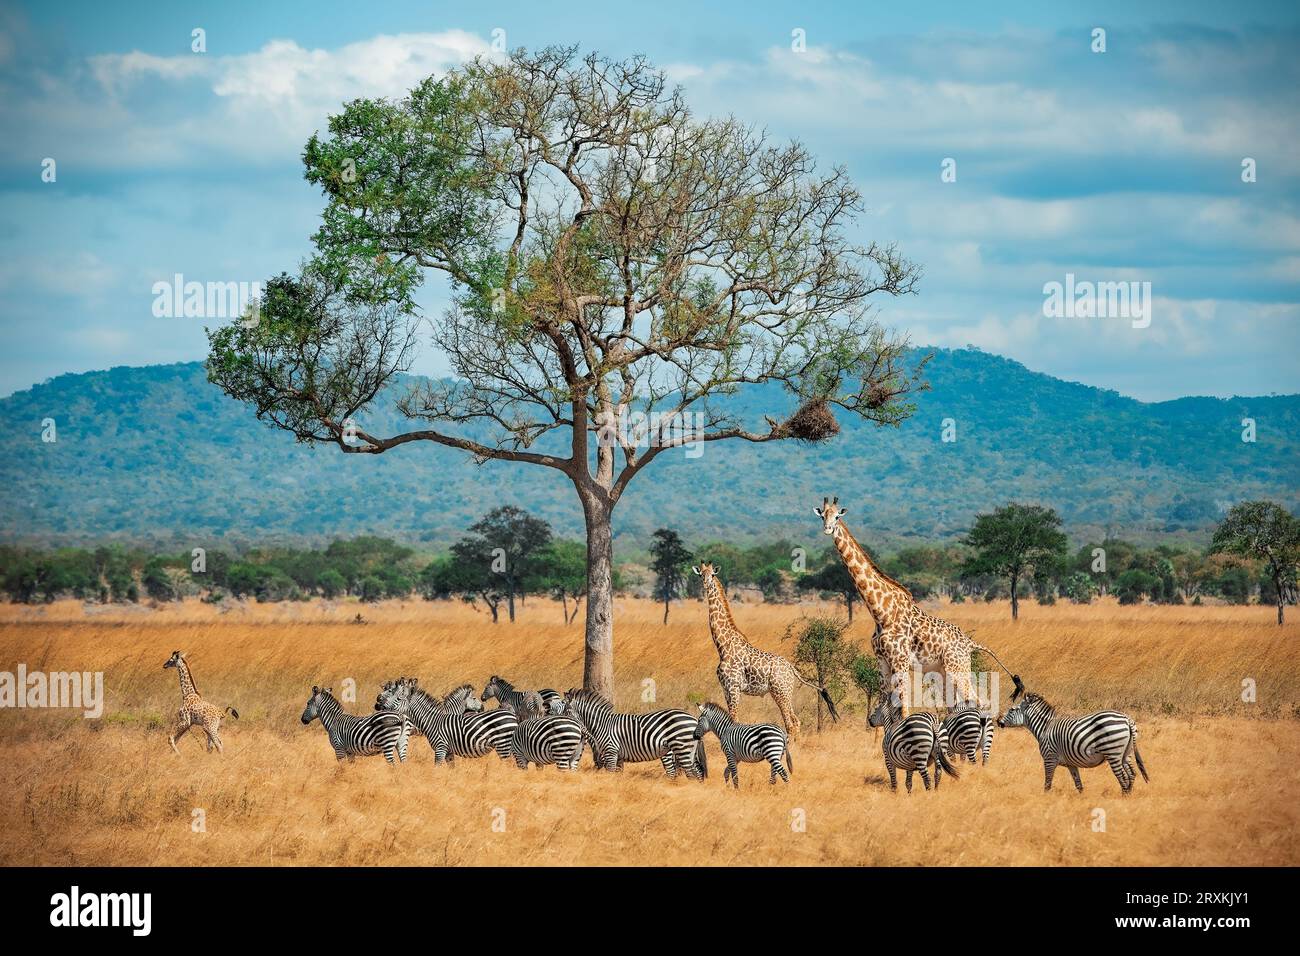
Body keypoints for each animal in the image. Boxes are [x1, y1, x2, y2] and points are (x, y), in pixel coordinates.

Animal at [376, 678, 516, 764]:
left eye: (398, 698)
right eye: (474, 698)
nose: (379, 706)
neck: (433, 720)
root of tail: (512, 715)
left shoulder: (441, 748)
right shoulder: (448, 751)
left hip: (503, 745)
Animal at [563, 688, 707, 780]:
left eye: (566, 712)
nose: (562, 725)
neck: (602, 724)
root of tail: (694, 719)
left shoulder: (611, 751)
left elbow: (610, 775)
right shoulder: (618, 756)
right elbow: (617, 776)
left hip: (681, 748)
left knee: (689, 773)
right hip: (686, 751)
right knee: (696, 773)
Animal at [693, 562, 838, 737]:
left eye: (713, 574)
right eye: (701, 574)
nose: (706, 584)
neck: (723, 645)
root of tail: (791, 668)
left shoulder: (734, 687)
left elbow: (733, 720)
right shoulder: (726, 689)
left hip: (780, 692)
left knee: (790, 724)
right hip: (786, 693)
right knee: (796, 721)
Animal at [814, 496, 1023, 719]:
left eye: (837, 516)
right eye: (822, 515)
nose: (827, 529)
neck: (880, 612)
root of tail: (969, 643)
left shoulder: (900, 661)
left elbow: (904, 710)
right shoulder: (882, 661)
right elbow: (885, 709)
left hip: (958, 668)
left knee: (980, 702)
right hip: (943, 670)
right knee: (957, 706)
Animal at [998, 692, 1149, 794]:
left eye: (1012, 709)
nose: (999, 722)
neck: (1045, 727)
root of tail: (1127, 719)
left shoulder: (1049, 758)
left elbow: (1047, 783)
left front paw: (1045, 800)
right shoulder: (1071, 764)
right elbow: (1078, 784)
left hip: (1113, 751)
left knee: (1122, 776)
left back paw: (1123, 797)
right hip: (1126, 753)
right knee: (1132, 774)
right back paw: (1128, 797)